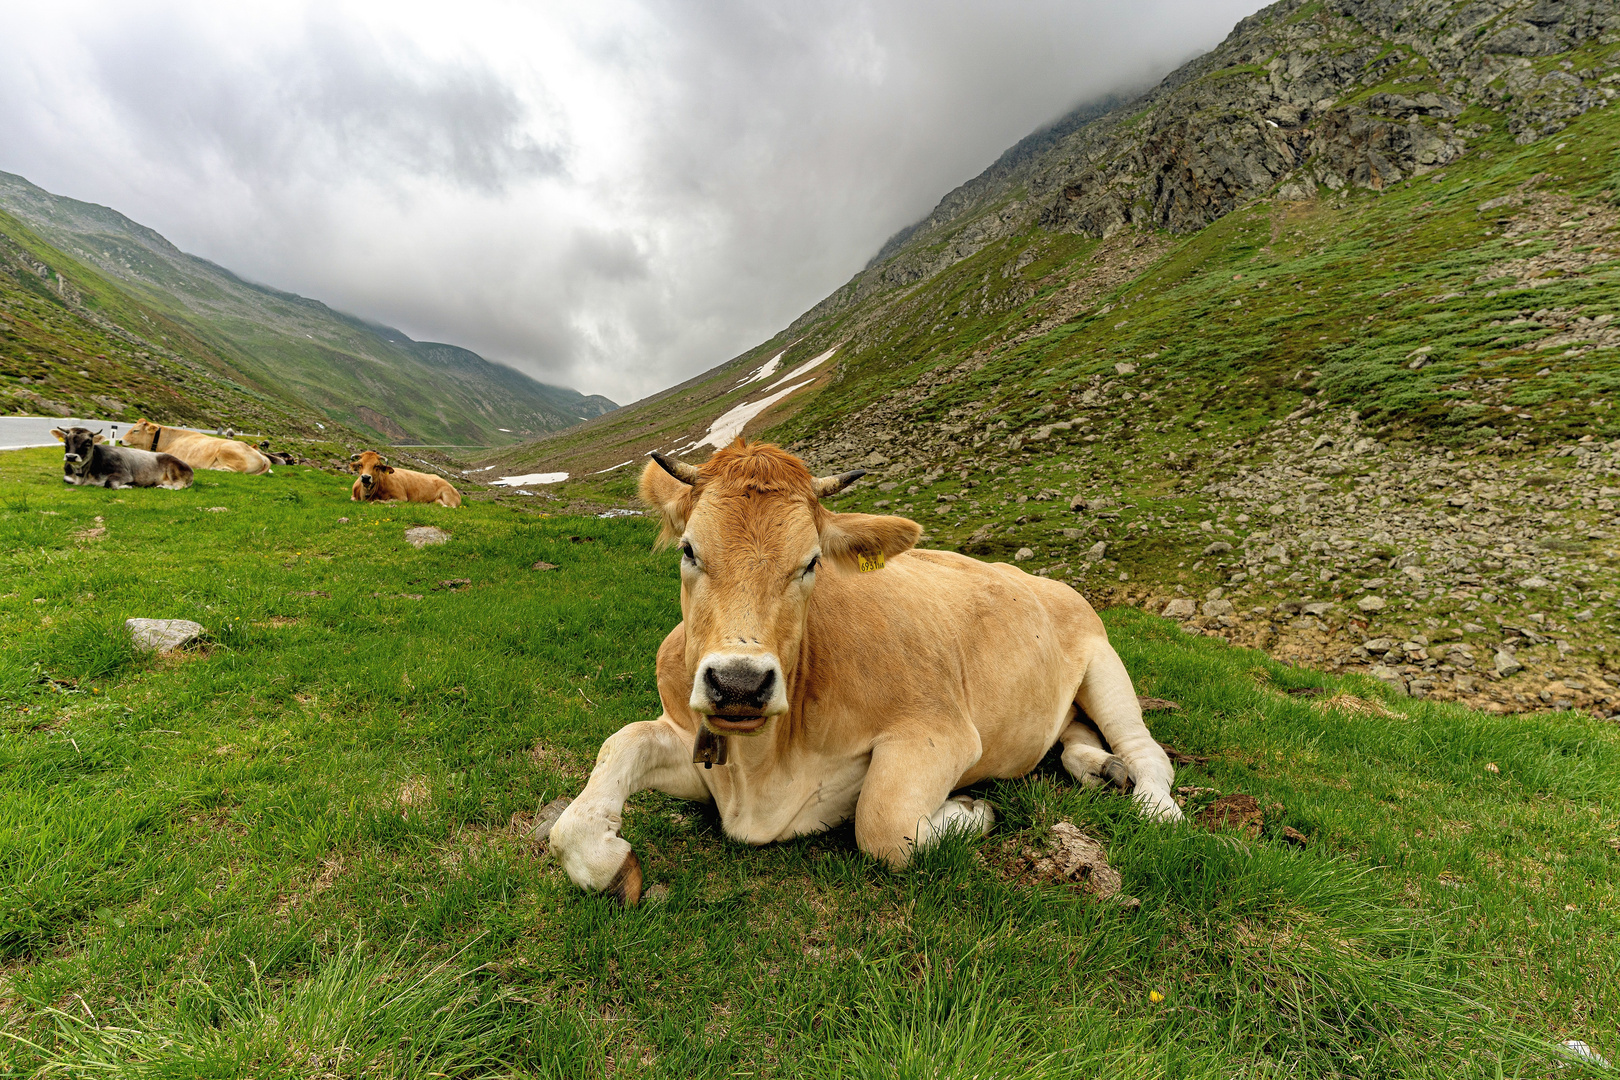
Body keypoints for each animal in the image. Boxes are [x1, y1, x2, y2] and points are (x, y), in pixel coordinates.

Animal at [52, 427, 192, 488]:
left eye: (88, 443)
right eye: (66, 442)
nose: (71, 456)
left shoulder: (124, 474)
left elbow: (109, 483)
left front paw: (127, 486)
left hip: (174, 470)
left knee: (179, 485)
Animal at [550, 440, 1185, 906]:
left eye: (811, 562)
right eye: (688, 550)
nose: (739, 684)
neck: (763, 769)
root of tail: (1040, 578)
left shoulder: (940, 733)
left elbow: (882, 825)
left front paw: (973, 810)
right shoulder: (697, 746)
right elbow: (612, 756)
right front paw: (608, 861)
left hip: (1103, 661)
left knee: (1147, 749)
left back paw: (1154, 805)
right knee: (1073, 736)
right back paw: (1102, 768)